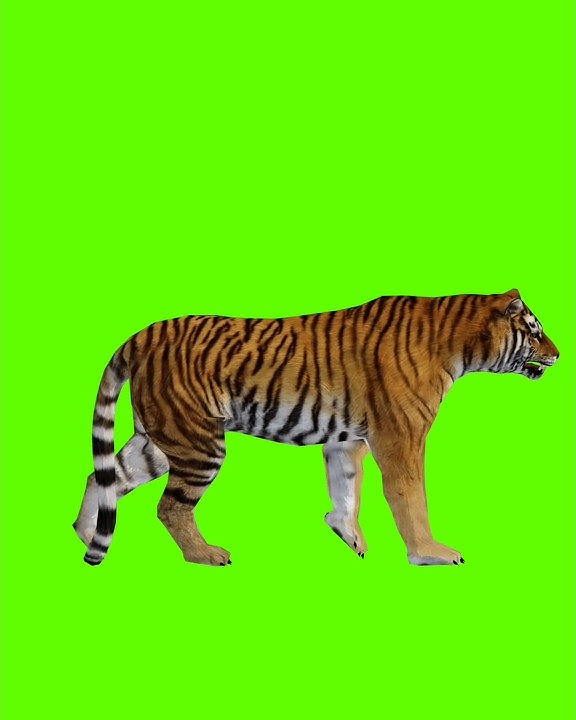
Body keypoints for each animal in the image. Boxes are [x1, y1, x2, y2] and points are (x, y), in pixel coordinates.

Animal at [74, 289, 559, 567]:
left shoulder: (348, 438)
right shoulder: (401, 438)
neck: (461, 346)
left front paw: (348, 536)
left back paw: (87, 534)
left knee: (105, 476)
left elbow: (346, 488)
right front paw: (430, 553)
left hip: (162, 439)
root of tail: (144, 334)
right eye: (535, 333)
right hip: (199, 443)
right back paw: (206, 555)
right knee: (170, 507)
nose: (556, 354)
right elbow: (411, 499)